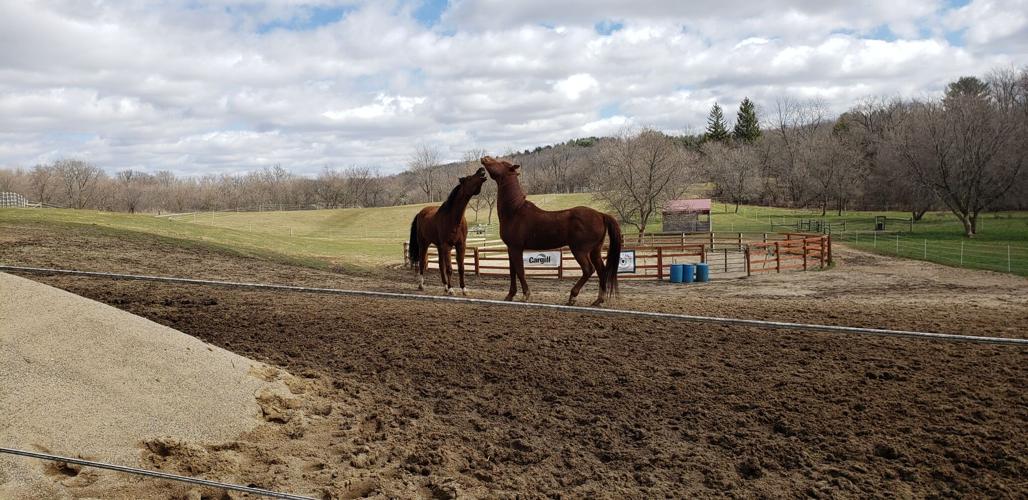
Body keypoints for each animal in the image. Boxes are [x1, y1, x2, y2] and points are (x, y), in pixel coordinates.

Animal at [408, 167, 488, 295]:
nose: (482, 169)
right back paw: (421, 285)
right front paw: (451, 289)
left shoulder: (461, 245)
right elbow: (449, 269)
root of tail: (420, 213)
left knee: (441, 265)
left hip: (439, 246)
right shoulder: (447, 245)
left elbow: (461, 268)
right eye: (469, 177)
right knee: (422, 263)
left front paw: (463, 289)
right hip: (424, 244)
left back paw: (445, 286)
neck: (454, 218)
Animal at [479, 156, 622, 306]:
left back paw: (573, 296)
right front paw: (510, 295)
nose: (485, 158)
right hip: (595, 251)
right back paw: (599, 299)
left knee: (588, 270)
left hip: (579, 250)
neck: (515, 210)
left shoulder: (516, 248)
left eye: (501, 163)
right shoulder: (510, 248)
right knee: (602, 270)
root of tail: (600, 215)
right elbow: (513, 272)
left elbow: (520, 271)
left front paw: (526, 295)